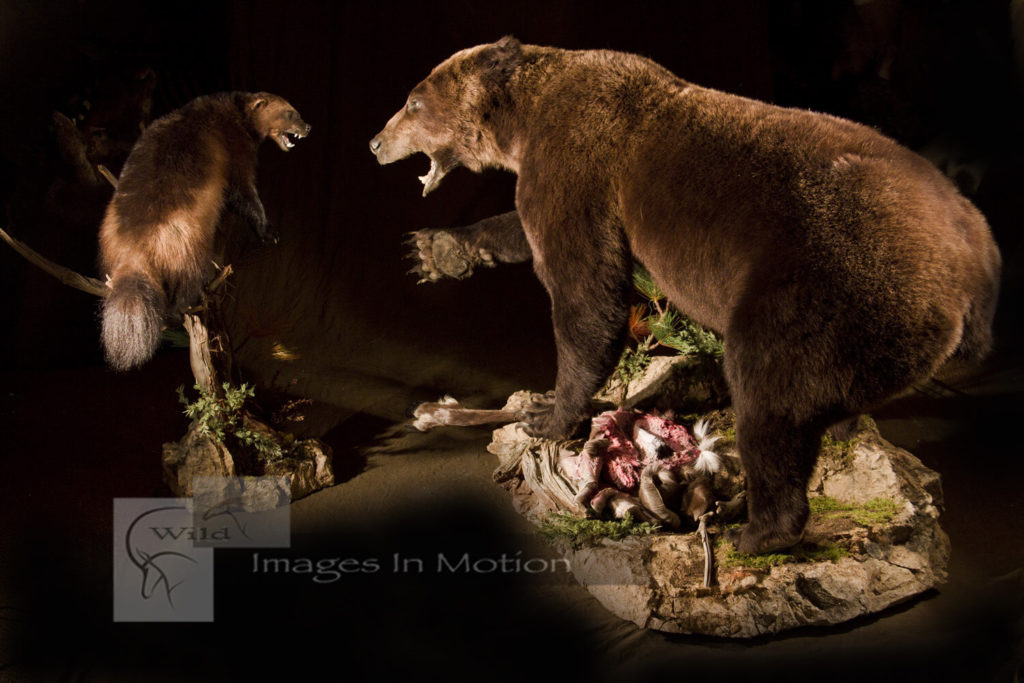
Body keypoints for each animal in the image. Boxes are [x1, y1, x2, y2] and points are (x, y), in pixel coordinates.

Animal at [99, 91, 310, 371]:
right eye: (290, 112)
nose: (307, 127)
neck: (230, 111)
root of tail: (135, 248)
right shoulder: (236, 150)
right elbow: (244, 192)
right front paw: (269, 232)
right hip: (187, 244)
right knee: (186, 283)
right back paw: (187, 305)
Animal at [370, 37, 1001, 554]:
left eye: (413, 103)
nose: (375, 142)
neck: (526, 117)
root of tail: (977, 266)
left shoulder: (575, 162)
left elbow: (585, 292)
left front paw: (549, 412)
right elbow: (518, 233)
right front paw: (437, 250)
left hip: (832, 282)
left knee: (770, 388)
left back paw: (761, 530)